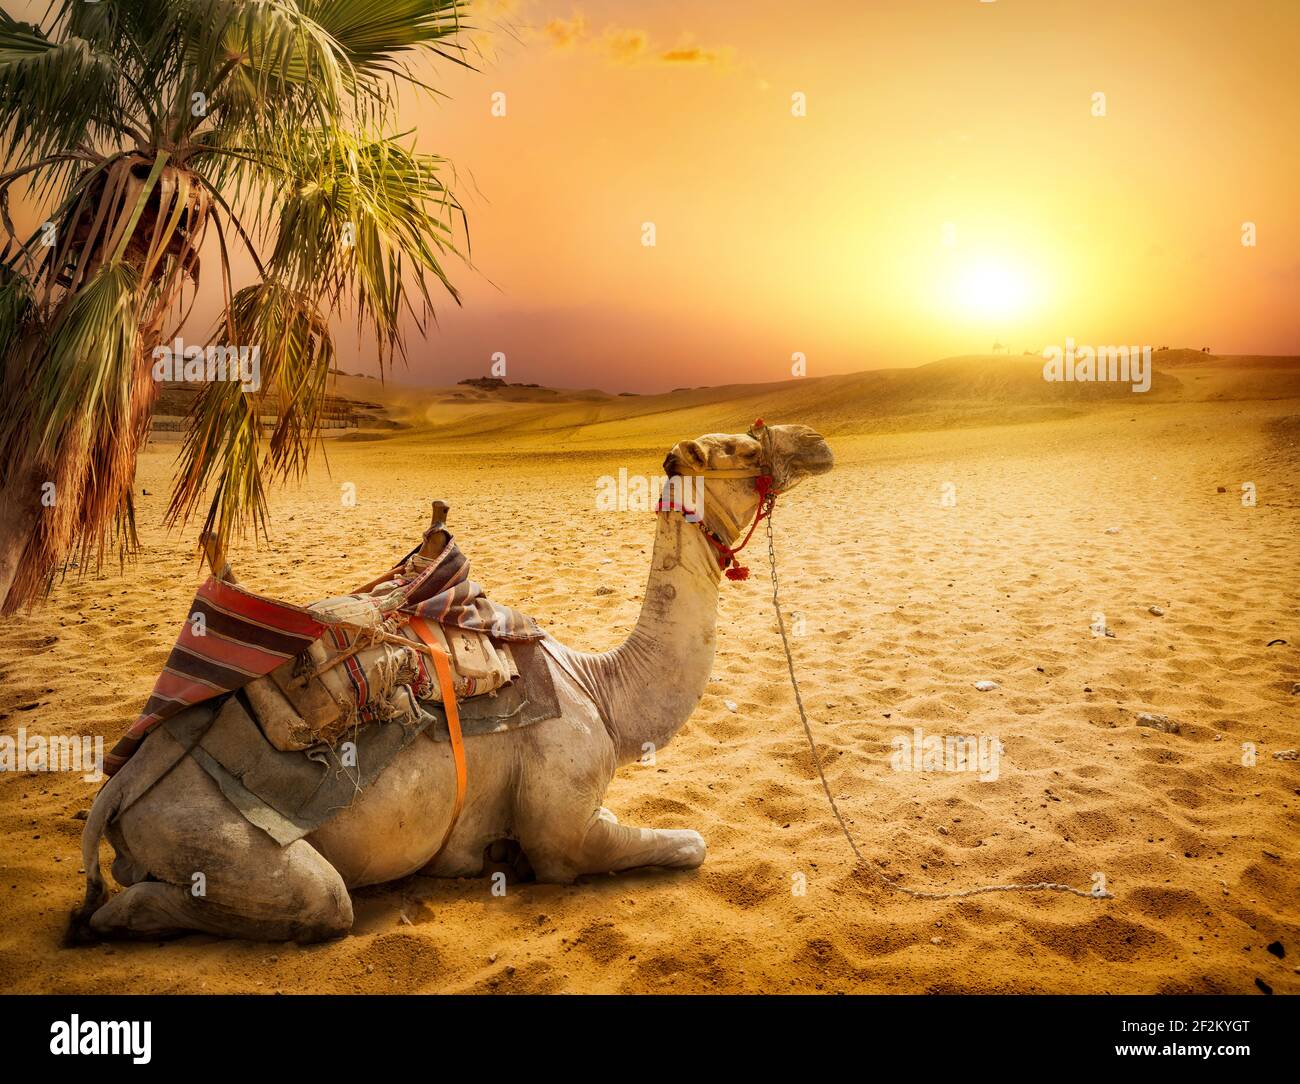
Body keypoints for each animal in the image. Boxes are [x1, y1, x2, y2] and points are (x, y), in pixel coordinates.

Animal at [72, 423, 834, 942]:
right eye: (736, 448)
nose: (817, 443)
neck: (605, 694)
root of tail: (121, 786)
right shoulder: (564, 828)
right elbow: (686, 844)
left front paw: (497, 855)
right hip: (209, 832)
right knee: (313, 901)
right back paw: (105, 920)